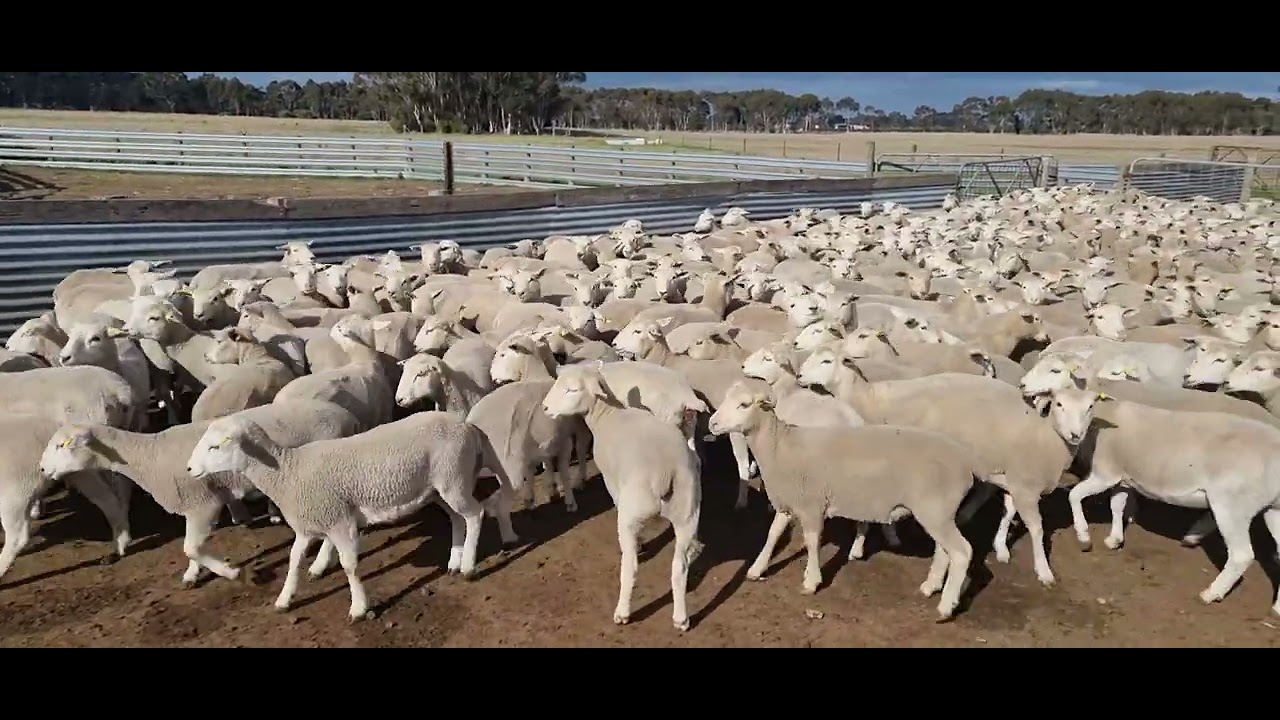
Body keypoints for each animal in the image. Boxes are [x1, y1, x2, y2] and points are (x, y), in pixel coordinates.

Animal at [186, 409, 487, 622]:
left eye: (215, 447)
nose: (188, 469)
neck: (286, 472)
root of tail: (465, 425)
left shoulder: (339, 520)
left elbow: (349, 566)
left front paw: (359, 607)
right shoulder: (309, 523)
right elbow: (294, 560)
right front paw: (285, 599)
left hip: (453, 478)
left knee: (476, 515)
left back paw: (468, 567)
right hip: (439, 488)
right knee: (457, 518)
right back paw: (454, 561)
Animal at [541, 363, 702, 631]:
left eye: (572, 389)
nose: (544, 408)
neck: (608, 416)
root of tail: (665, 472)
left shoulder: (612, 482)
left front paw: (641, 544)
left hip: (633, 513)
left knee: (631, 566)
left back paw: (622, 612)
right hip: (687, 511)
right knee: (679, 566)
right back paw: (681, 618)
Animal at [706, 380, 976, 620]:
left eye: (744, 404)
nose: (712, 423)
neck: (779, 447)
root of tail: (966, 465)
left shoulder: (812, 505)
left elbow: (812, 542)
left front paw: (811, 581)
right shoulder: (788, 501)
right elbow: (772, 535)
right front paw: (756, 569)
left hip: (934, 511)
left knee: (962, 552)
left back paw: (945, 607)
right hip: (939, 513)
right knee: (944, 551)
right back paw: (931, 586)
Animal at [1047, 387, 1280, 616]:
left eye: (1089, 406)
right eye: (1059, 404)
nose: (1074, 435)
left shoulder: (1106, 473)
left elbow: (1074, 495)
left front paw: (1083, 536)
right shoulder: (1122, 477)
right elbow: (1117, 505)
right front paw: (1114, 539)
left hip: (1232, 504)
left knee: (1241, 555)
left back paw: (1211, 593)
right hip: (1273, 508)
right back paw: (1276, 608)